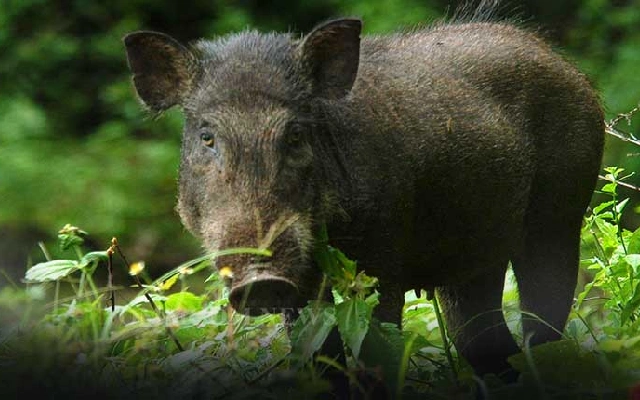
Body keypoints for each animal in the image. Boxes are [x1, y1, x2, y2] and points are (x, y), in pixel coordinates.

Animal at [124, 17, 604, 381]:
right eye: (207, 136)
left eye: (295, 135)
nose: (261, 279)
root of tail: (568, 67)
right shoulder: (302, 294)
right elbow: (323, 360)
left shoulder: (383, 265)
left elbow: (377, 351)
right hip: (473, 263)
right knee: (486, 341)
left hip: (560, 218)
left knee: (542, 329)